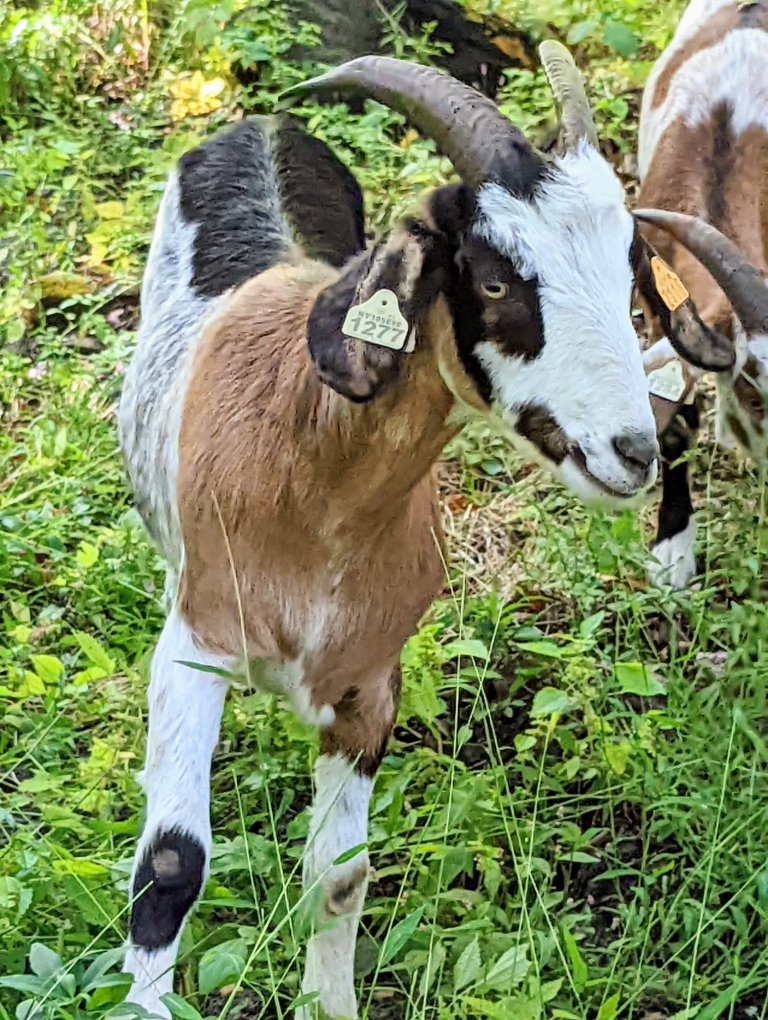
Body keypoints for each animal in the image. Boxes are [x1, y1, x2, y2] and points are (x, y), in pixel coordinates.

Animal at [116, 48, 720, 1019]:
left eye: (631, 273)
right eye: (496, 279)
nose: (633, 452)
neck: (310, 479)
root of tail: (263, 123)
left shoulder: (370, 688)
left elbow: (338, 877)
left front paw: (328, 1003)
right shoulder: (194, 644)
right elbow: (171, 868)